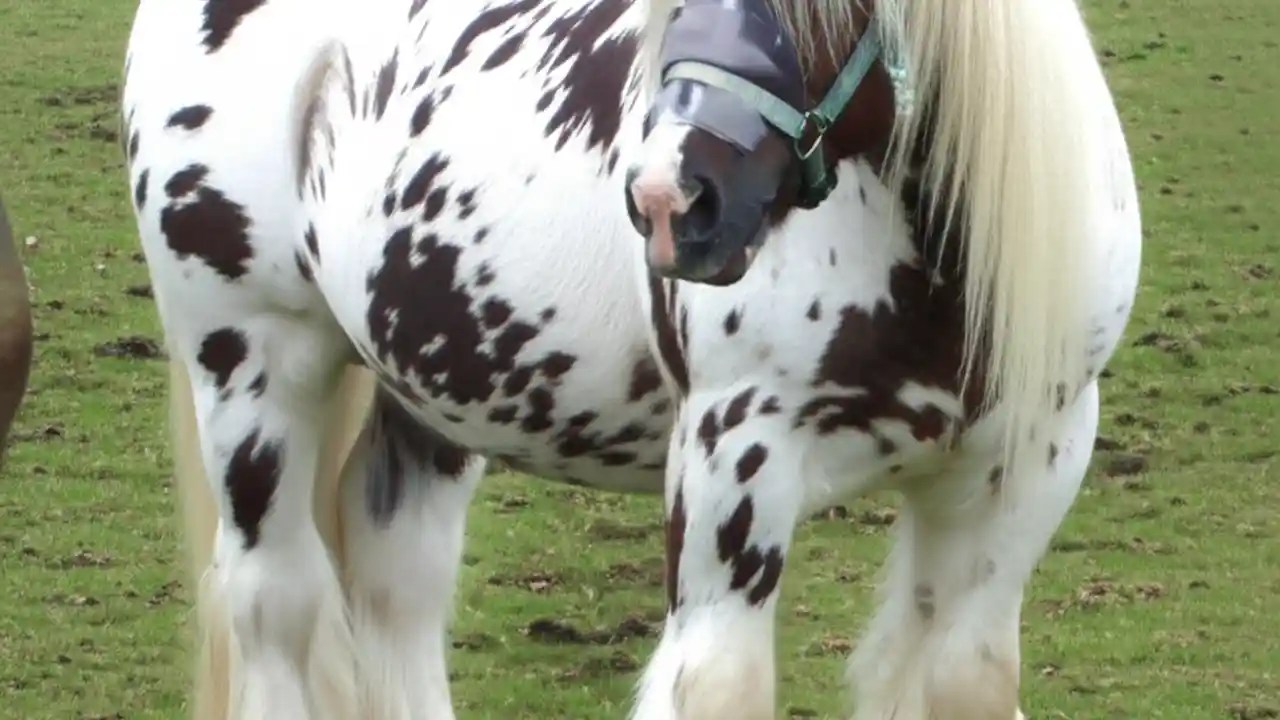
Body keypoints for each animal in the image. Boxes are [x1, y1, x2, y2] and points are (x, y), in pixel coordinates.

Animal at [120, 0, 1141, 718]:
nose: (669, 200)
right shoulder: (736, 458)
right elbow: (719, 685)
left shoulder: (1027, 467)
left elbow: (966, 680)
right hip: (251, 370)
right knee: (275, 608)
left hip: (428, 385)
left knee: (395, 580)